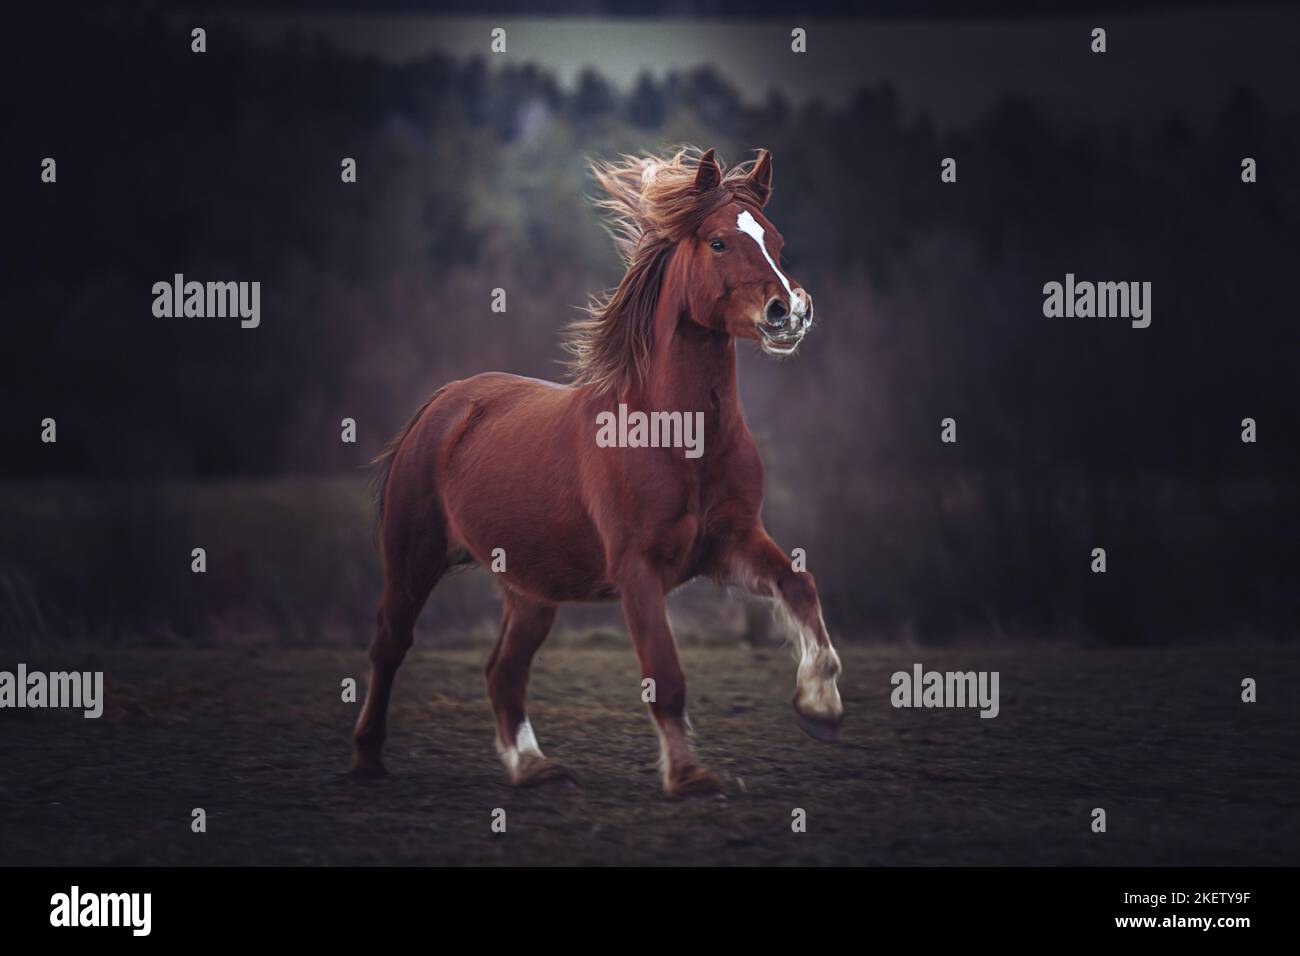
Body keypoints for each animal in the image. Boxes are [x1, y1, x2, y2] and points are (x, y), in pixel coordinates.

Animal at [351, 147, 843, 797]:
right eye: (717, 242)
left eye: (777, 241)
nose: (791, 313)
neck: (675, 434)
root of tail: (446, 403)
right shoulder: (638, 568)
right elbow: (664, 671)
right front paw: (688, 775)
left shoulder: (730, 544)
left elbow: (799, 584)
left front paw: (820, 706)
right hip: (414, 557)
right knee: (390, 644)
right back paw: (367, 758)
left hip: (530, 591)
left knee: (502, 671)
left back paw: (533, 767)